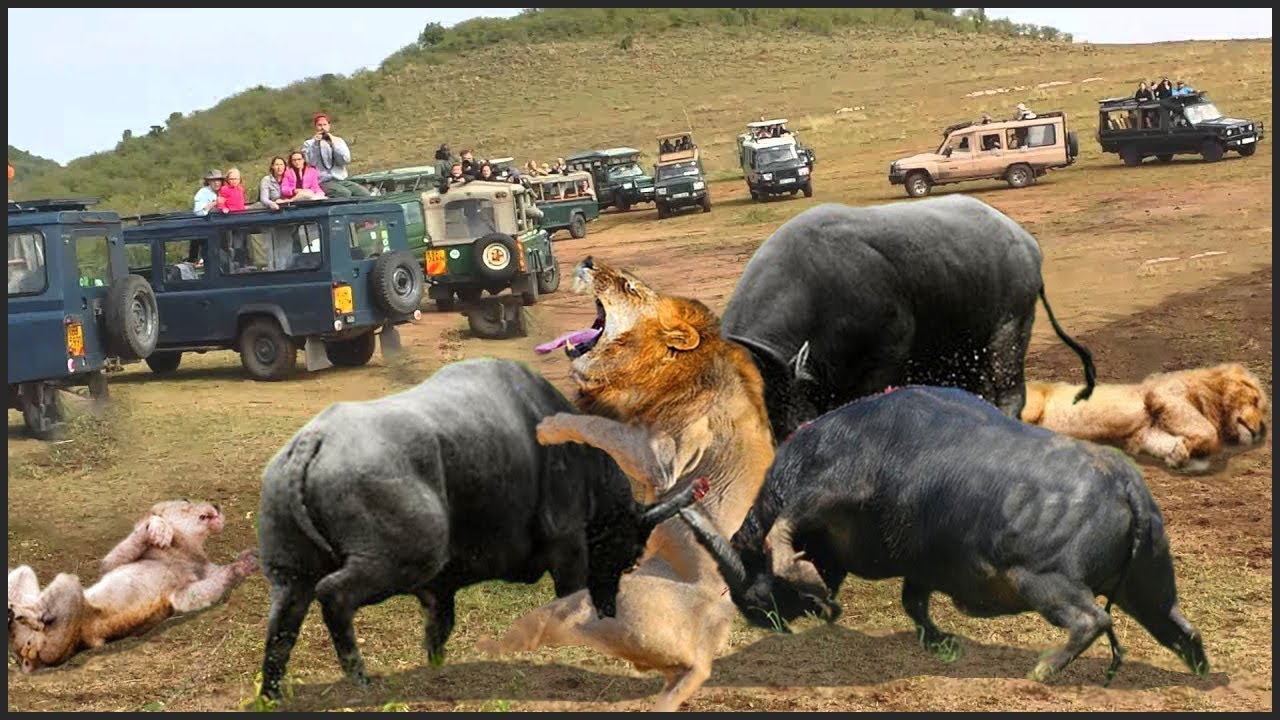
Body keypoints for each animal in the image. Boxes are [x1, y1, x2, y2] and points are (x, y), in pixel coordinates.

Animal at [8, 499, 258, 673]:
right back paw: (16, 611)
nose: (216, 504)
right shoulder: (111, 564)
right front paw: (158, 528)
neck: (183, 553)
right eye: (185, 501)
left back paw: (17, 614)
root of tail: (28, 660)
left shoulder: (184, 594)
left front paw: (245, 562)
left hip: (62, 593)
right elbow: (124, 548)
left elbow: (211, 583)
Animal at [254, 357, 706, 702]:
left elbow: (440, 627)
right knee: (334, 594)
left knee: (286, 615)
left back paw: (273, 695)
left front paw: (436, 672)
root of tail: (311, 443)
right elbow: (569, 597)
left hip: (289, 563)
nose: (610, 609)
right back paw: (361, 682)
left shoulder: (440, 588)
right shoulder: (569, 545)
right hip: (406, 556)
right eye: (627, 556)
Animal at [479, 256, 777, 711]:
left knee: (544, 626)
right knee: (685, 671)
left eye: (630, 287)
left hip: (601, 605)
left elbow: (596, 425)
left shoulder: (661, 458)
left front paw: (548, 426)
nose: (586, 261)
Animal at [680, 385, 1208, 685]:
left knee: (1092, 620)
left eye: (755, 582)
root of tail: (1125, 485)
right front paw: (939, 643)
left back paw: (1043, 669)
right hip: (1148, 587)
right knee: (1181, 628)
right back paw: (1199, 670)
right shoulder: (921, 564)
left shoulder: (829, 491)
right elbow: (914, 602)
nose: (758, 616)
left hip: (1045, 582)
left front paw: (803, 573)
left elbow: (785, 528)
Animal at [1021, 363, 1269, 473]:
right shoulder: (1163, 394)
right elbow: (1209, 431)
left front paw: (1178, 454)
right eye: (1255, 400)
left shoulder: (1146, 432)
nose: (1258, 430)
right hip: (1032, 406)